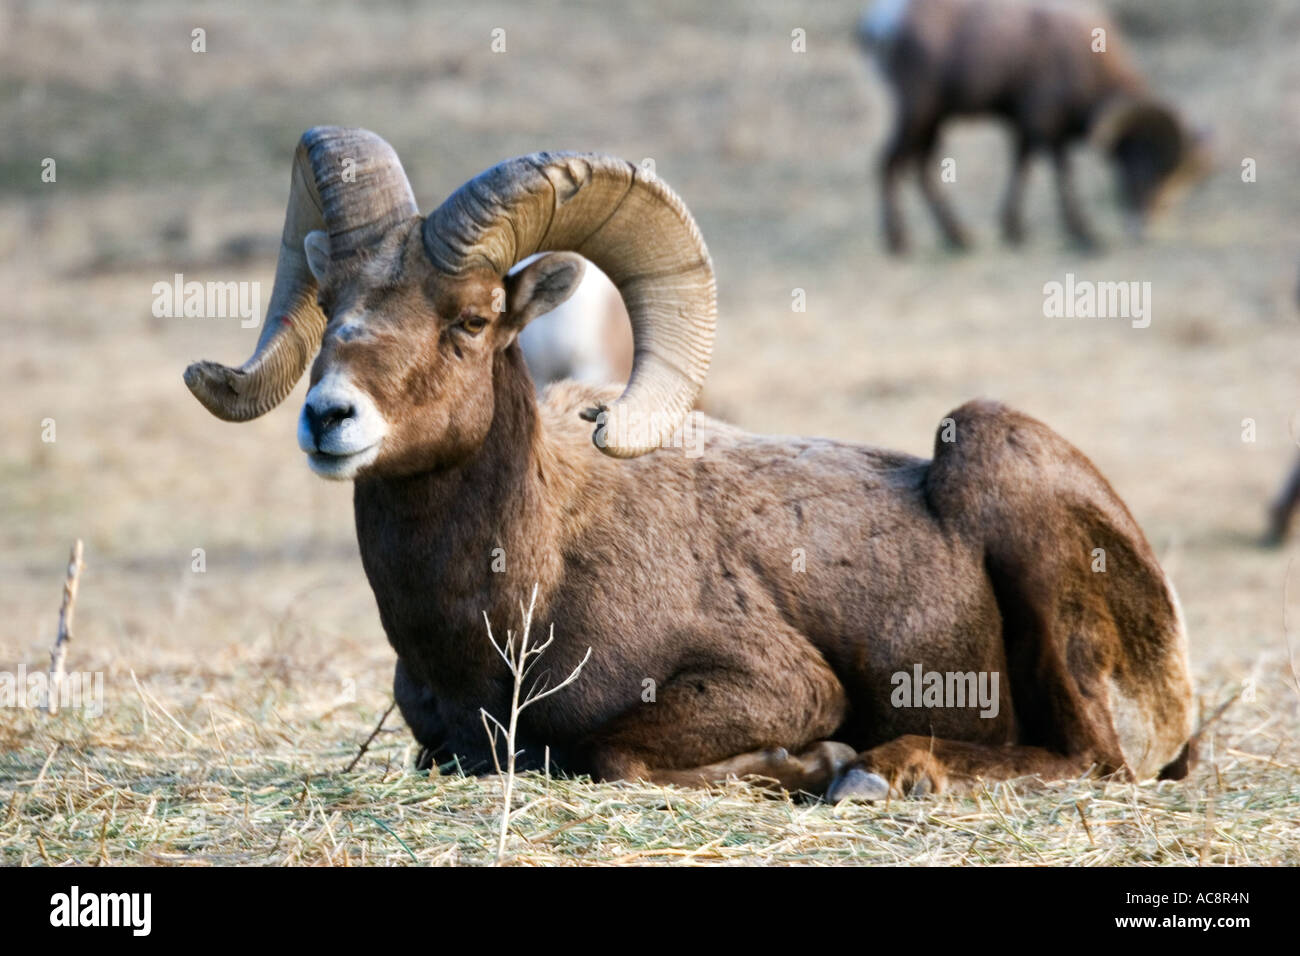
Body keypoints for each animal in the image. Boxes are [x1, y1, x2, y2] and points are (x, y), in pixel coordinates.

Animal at [184, 127, 1195, 798]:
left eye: (469, 320)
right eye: (334, 305)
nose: (328, 418)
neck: (517, 599)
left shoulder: (771, 688)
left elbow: (616, 755)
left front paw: (818, 762)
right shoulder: (438, 744)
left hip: (991, 460)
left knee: (1095, 760)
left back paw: (879, 771)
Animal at [859, 0, 1211, 252]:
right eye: (1149, 163)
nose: (1142, 229)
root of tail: (882, 23)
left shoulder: (1024, 128)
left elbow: (1022, 168)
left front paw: (1013, 232)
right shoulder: (1047, 128)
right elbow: (1061, 174)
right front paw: (1084, 235)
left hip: (933, 121)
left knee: (919, 169)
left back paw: (959, 238)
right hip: (918, 114)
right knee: (888, 163)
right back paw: (899, 243)